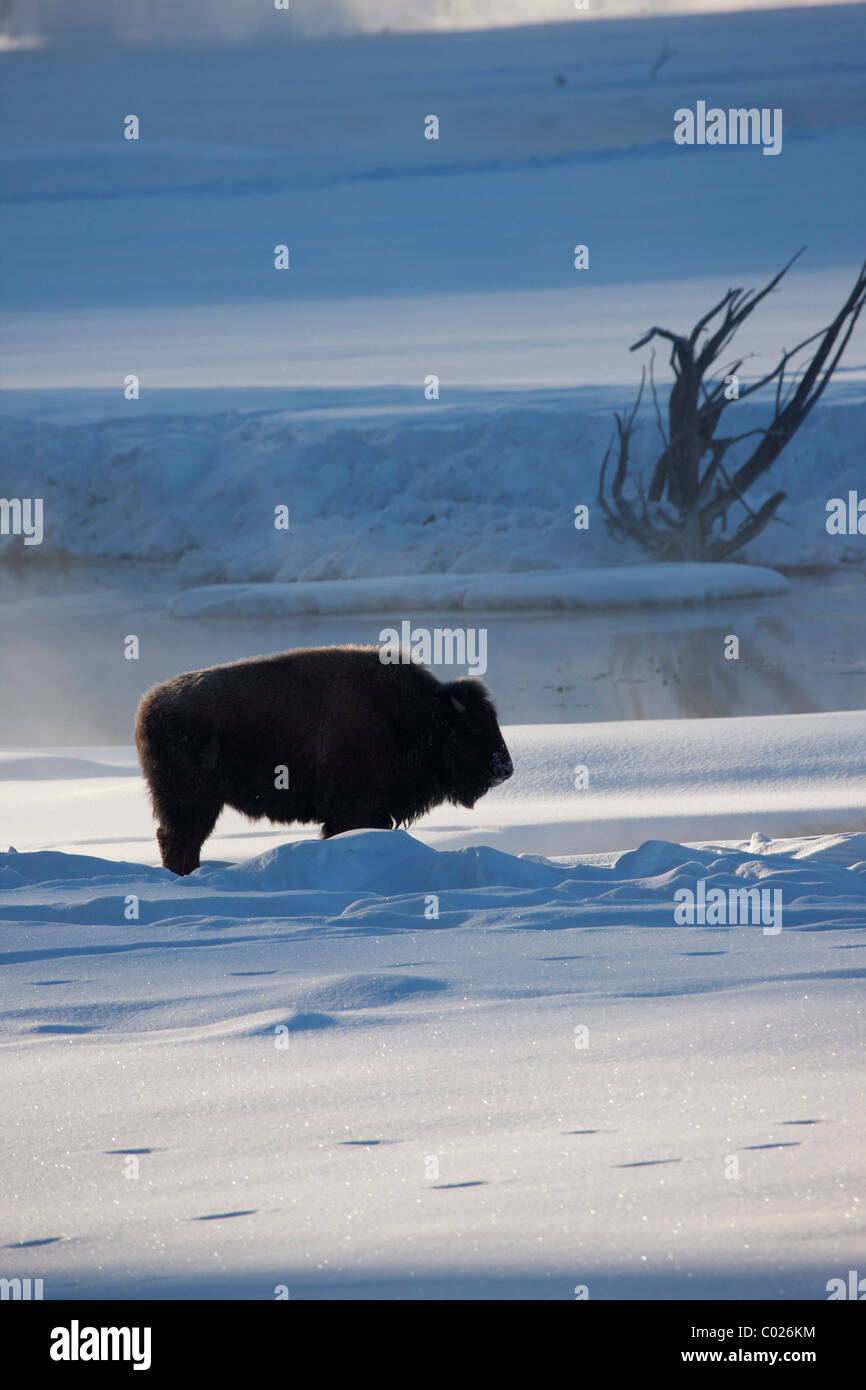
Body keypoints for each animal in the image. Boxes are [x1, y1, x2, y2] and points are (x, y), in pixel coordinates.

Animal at [135, 644, 513, 875]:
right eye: (474, 727)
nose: (505, 768)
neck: (410, 715)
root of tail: (149, 703)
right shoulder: (352, 810)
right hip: (191, 802)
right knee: (179, 840)